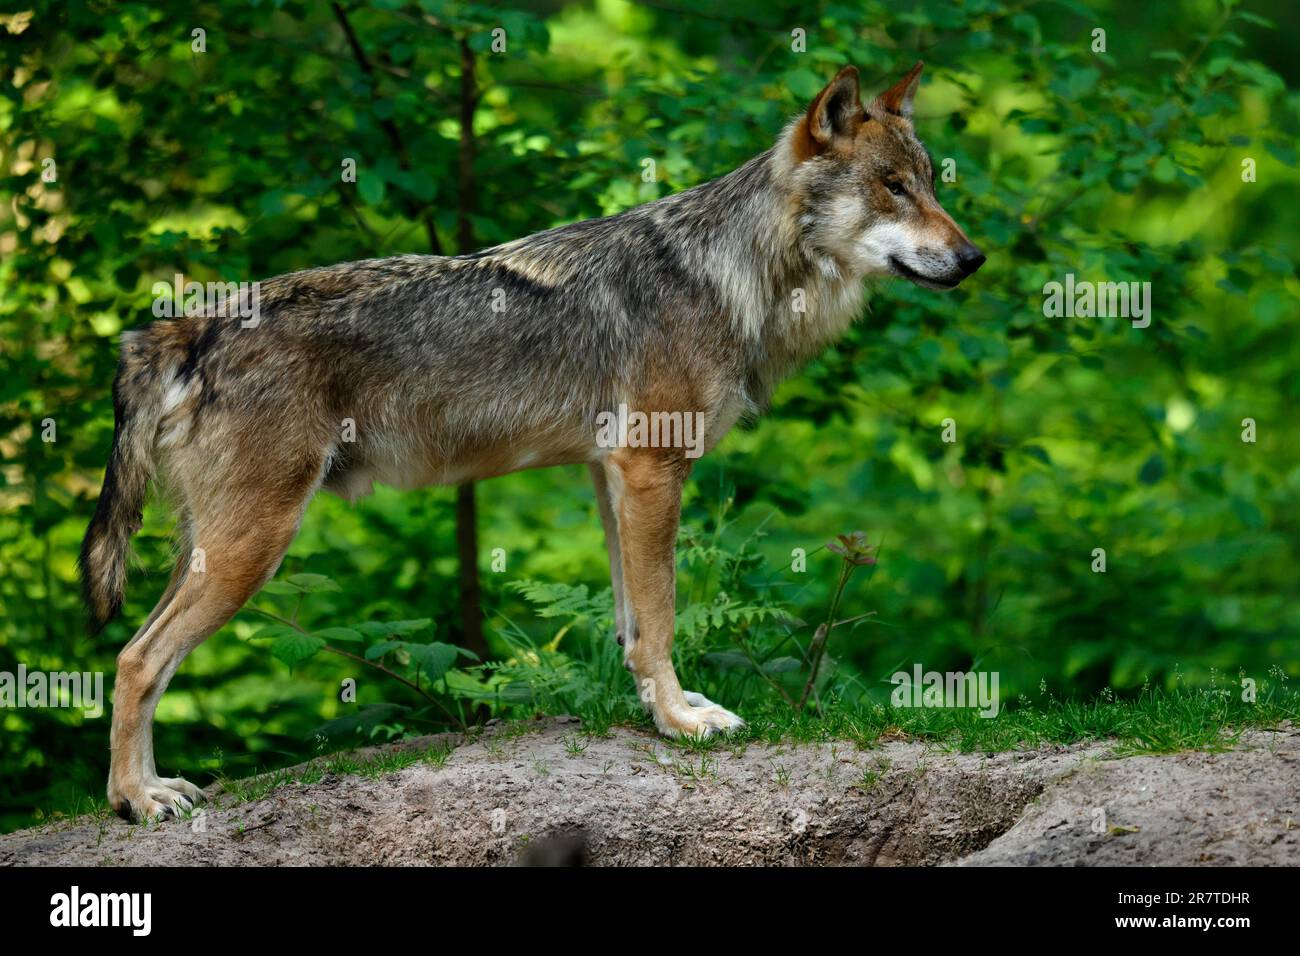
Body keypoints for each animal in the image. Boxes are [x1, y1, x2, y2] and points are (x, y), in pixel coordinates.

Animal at [80, 62, 983, 822]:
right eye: (893, 189)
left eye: (932, 185)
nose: (974, 256)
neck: (734, 276)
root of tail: (185, 328)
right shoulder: (651, 469)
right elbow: (662, 619)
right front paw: (682, 722)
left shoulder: (611, 476)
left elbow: (631, 625)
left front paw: (664, 712)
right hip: (252, 548)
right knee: (133, 661)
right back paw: (138, 801)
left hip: (214, 548)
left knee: (137, 658)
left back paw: (144, 790)